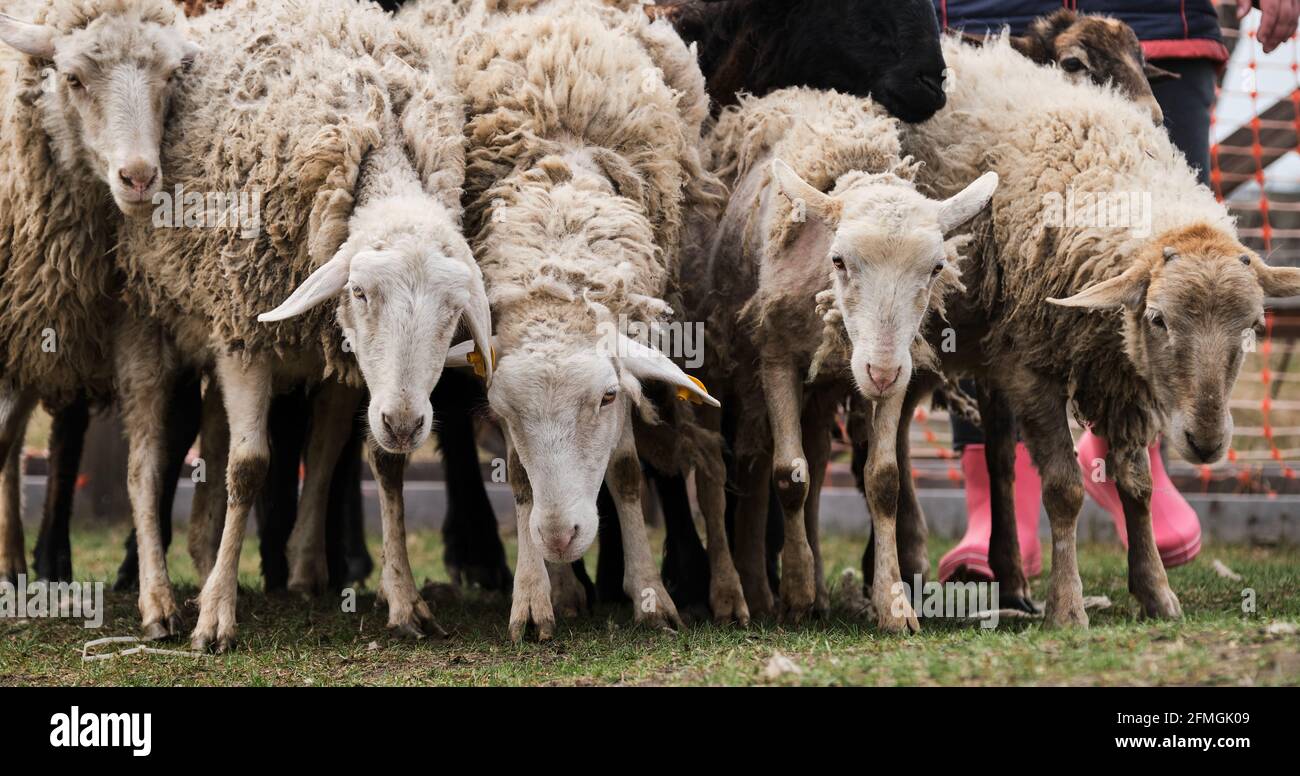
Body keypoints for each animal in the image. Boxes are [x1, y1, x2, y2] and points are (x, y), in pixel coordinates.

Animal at [0, 0, 198, 612]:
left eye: (170, 77)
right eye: (73, 79)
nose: (138, 177)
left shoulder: (134, 329)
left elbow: (148, 462)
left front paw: (156, 596)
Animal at [112, 0, 491, 650]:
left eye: (452, 312)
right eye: (360, 292)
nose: (405, 423)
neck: (377, 133)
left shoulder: (360, 368)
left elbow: (381, 464)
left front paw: (404, 600)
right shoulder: (242, 335)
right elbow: (250, 468)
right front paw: (216, 616)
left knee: (298, 444)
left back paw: (280, 566)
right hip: (149, 320)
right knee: (145, 465)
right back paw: (159, 601)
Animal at [444, 0, 724, 640]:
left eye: (604, 398)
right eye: (503, 411)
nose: (558, 537)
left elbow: (624, 472)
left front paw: (649, 595)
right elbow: (522, 482)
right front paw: (537, 597)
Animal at [682, 86, 995, 627]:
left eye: (936, 268)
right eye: (839, 260)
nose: (880, 371)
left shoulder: (894, 369)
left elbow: (883, 481)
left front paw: (893, 604)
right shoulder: (776, 358)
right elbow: (790, 476)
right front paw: (797, 590)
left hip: (821, 385)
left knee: (794, 461)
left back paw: (769, 588)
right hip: (718, 362)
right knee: (716, 472)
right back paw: (734, 595)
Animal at [900, 34, 1300, 627]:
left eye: (1253, 325)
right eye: (1158, 319)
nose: (1205, 443)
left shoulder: (1123, 377)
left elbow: (1139, 486)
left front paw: (1155, 591)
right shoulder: (1033, 366)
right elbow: (1065, 489)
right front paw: (1067, 607)